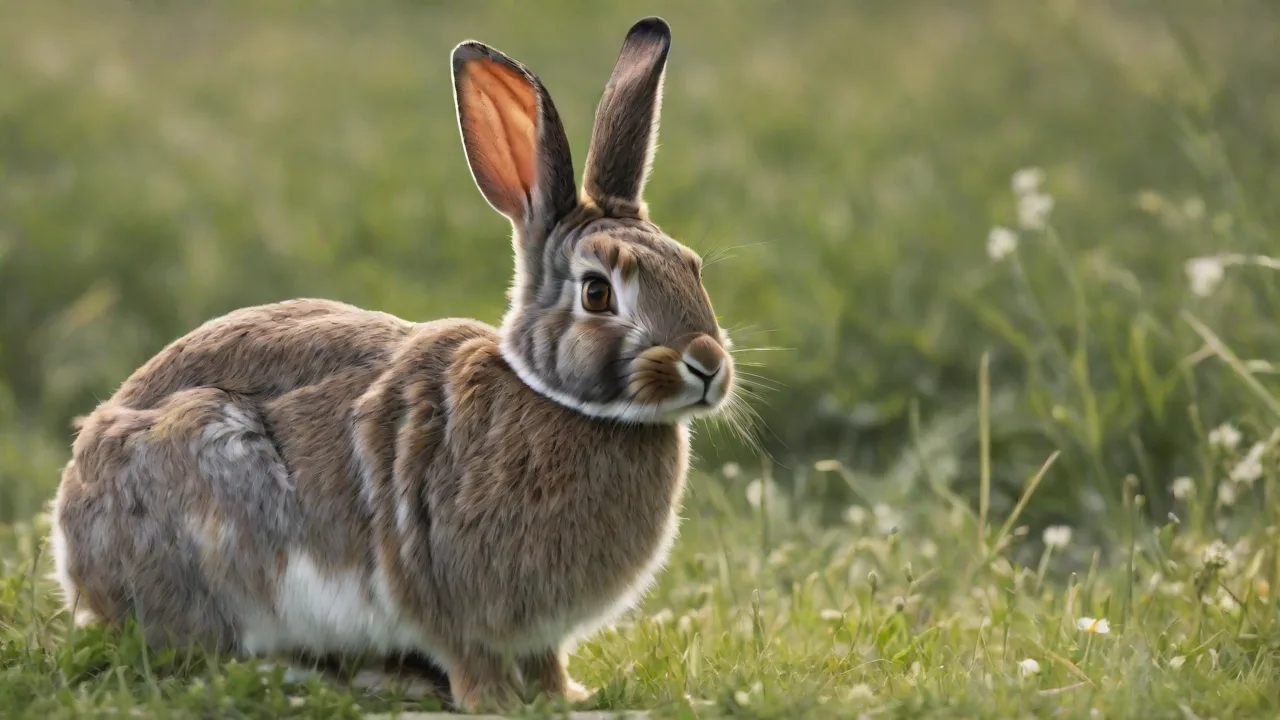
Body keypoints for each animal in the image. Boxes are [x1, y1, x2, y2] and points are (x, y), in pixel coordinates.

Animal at [47, 15, 735, 714]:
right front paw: (498, 703)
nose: (707, 364)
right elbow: (473, 657)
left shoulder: (537, 632)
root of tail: (73, 549)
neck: (558, 400)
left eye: (691, 267)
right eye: (597, 293)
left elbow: (545, 661)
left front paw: (566, 696)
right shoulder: (453, 599)